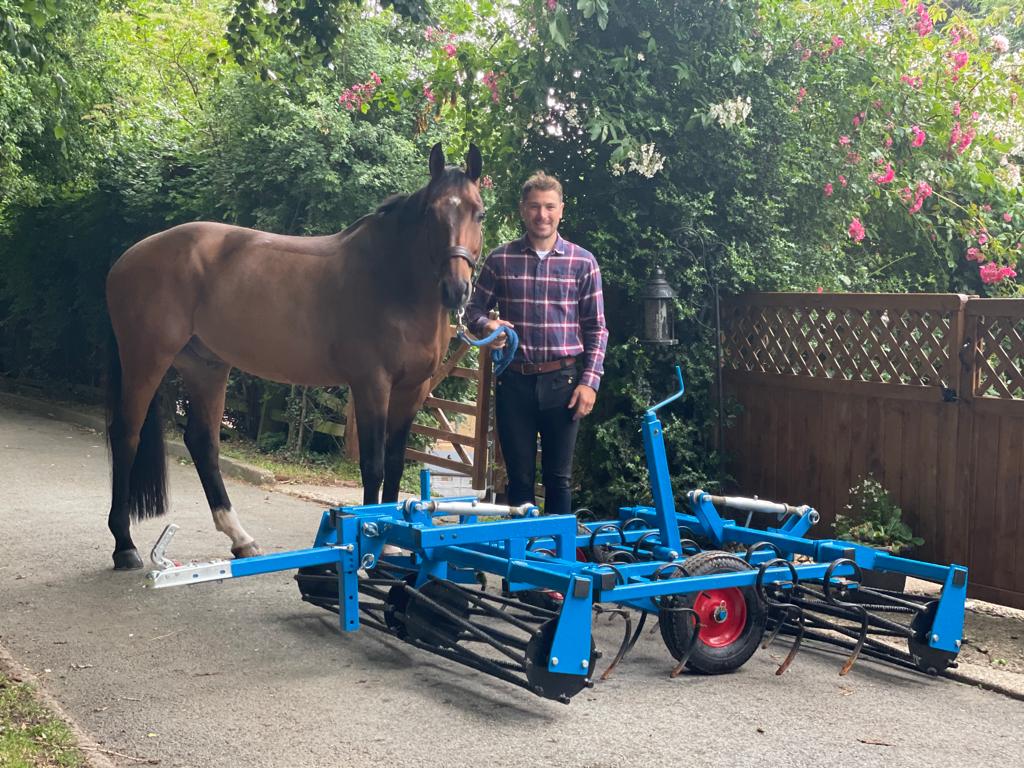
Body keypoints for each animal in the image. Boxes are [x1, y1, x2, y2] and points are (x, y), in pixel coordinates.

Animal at [104, 143, 484, 570]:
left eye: (479, 212)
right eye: (432, 213)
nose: (456, 289)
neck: (390, 280)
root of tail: (127, 259)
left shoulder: (413, 390)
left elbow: (395, 462)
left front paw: (393, 544)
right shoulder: (372, 385)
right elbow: (373, 465)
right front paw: (373, 539)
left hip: (206, 366)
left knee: (202, 442)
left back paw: (241, 538)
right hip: (146, 358)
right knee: (127, 434)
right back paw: (125, 545)